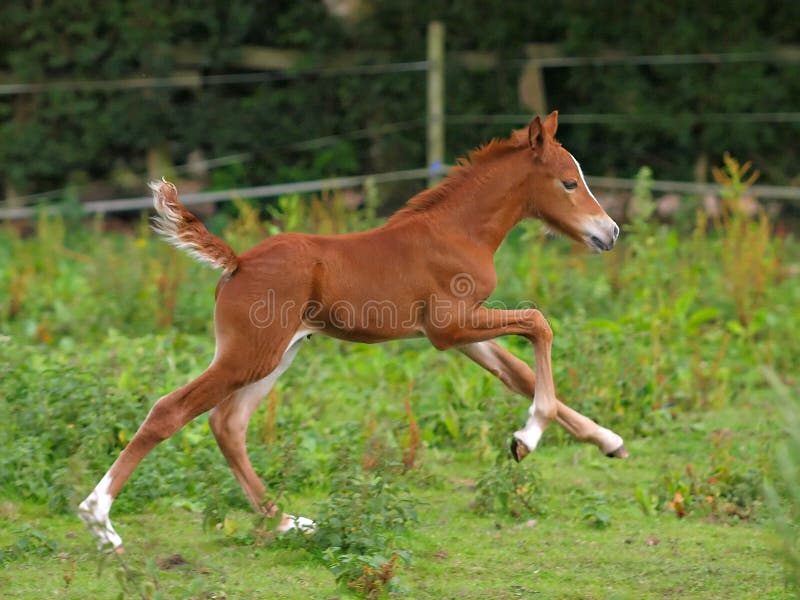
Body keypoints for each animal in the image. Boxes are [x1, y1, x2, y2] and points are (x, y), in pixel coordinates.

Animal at [79, 111, 625, 551]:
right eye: (569, 182)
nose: (612, 231)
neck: (456, 231)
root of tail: (237, 262)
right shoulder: (449, 328)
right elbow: (539, 325)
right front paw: (525, 439)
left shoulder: (462, 334)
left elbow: (518, 373)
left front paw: (607, 441)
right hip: (249, 356)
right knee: (169, 411)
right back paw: (100, 521)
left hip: (275, 356)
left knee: (228, 425)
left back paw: (288, 523)